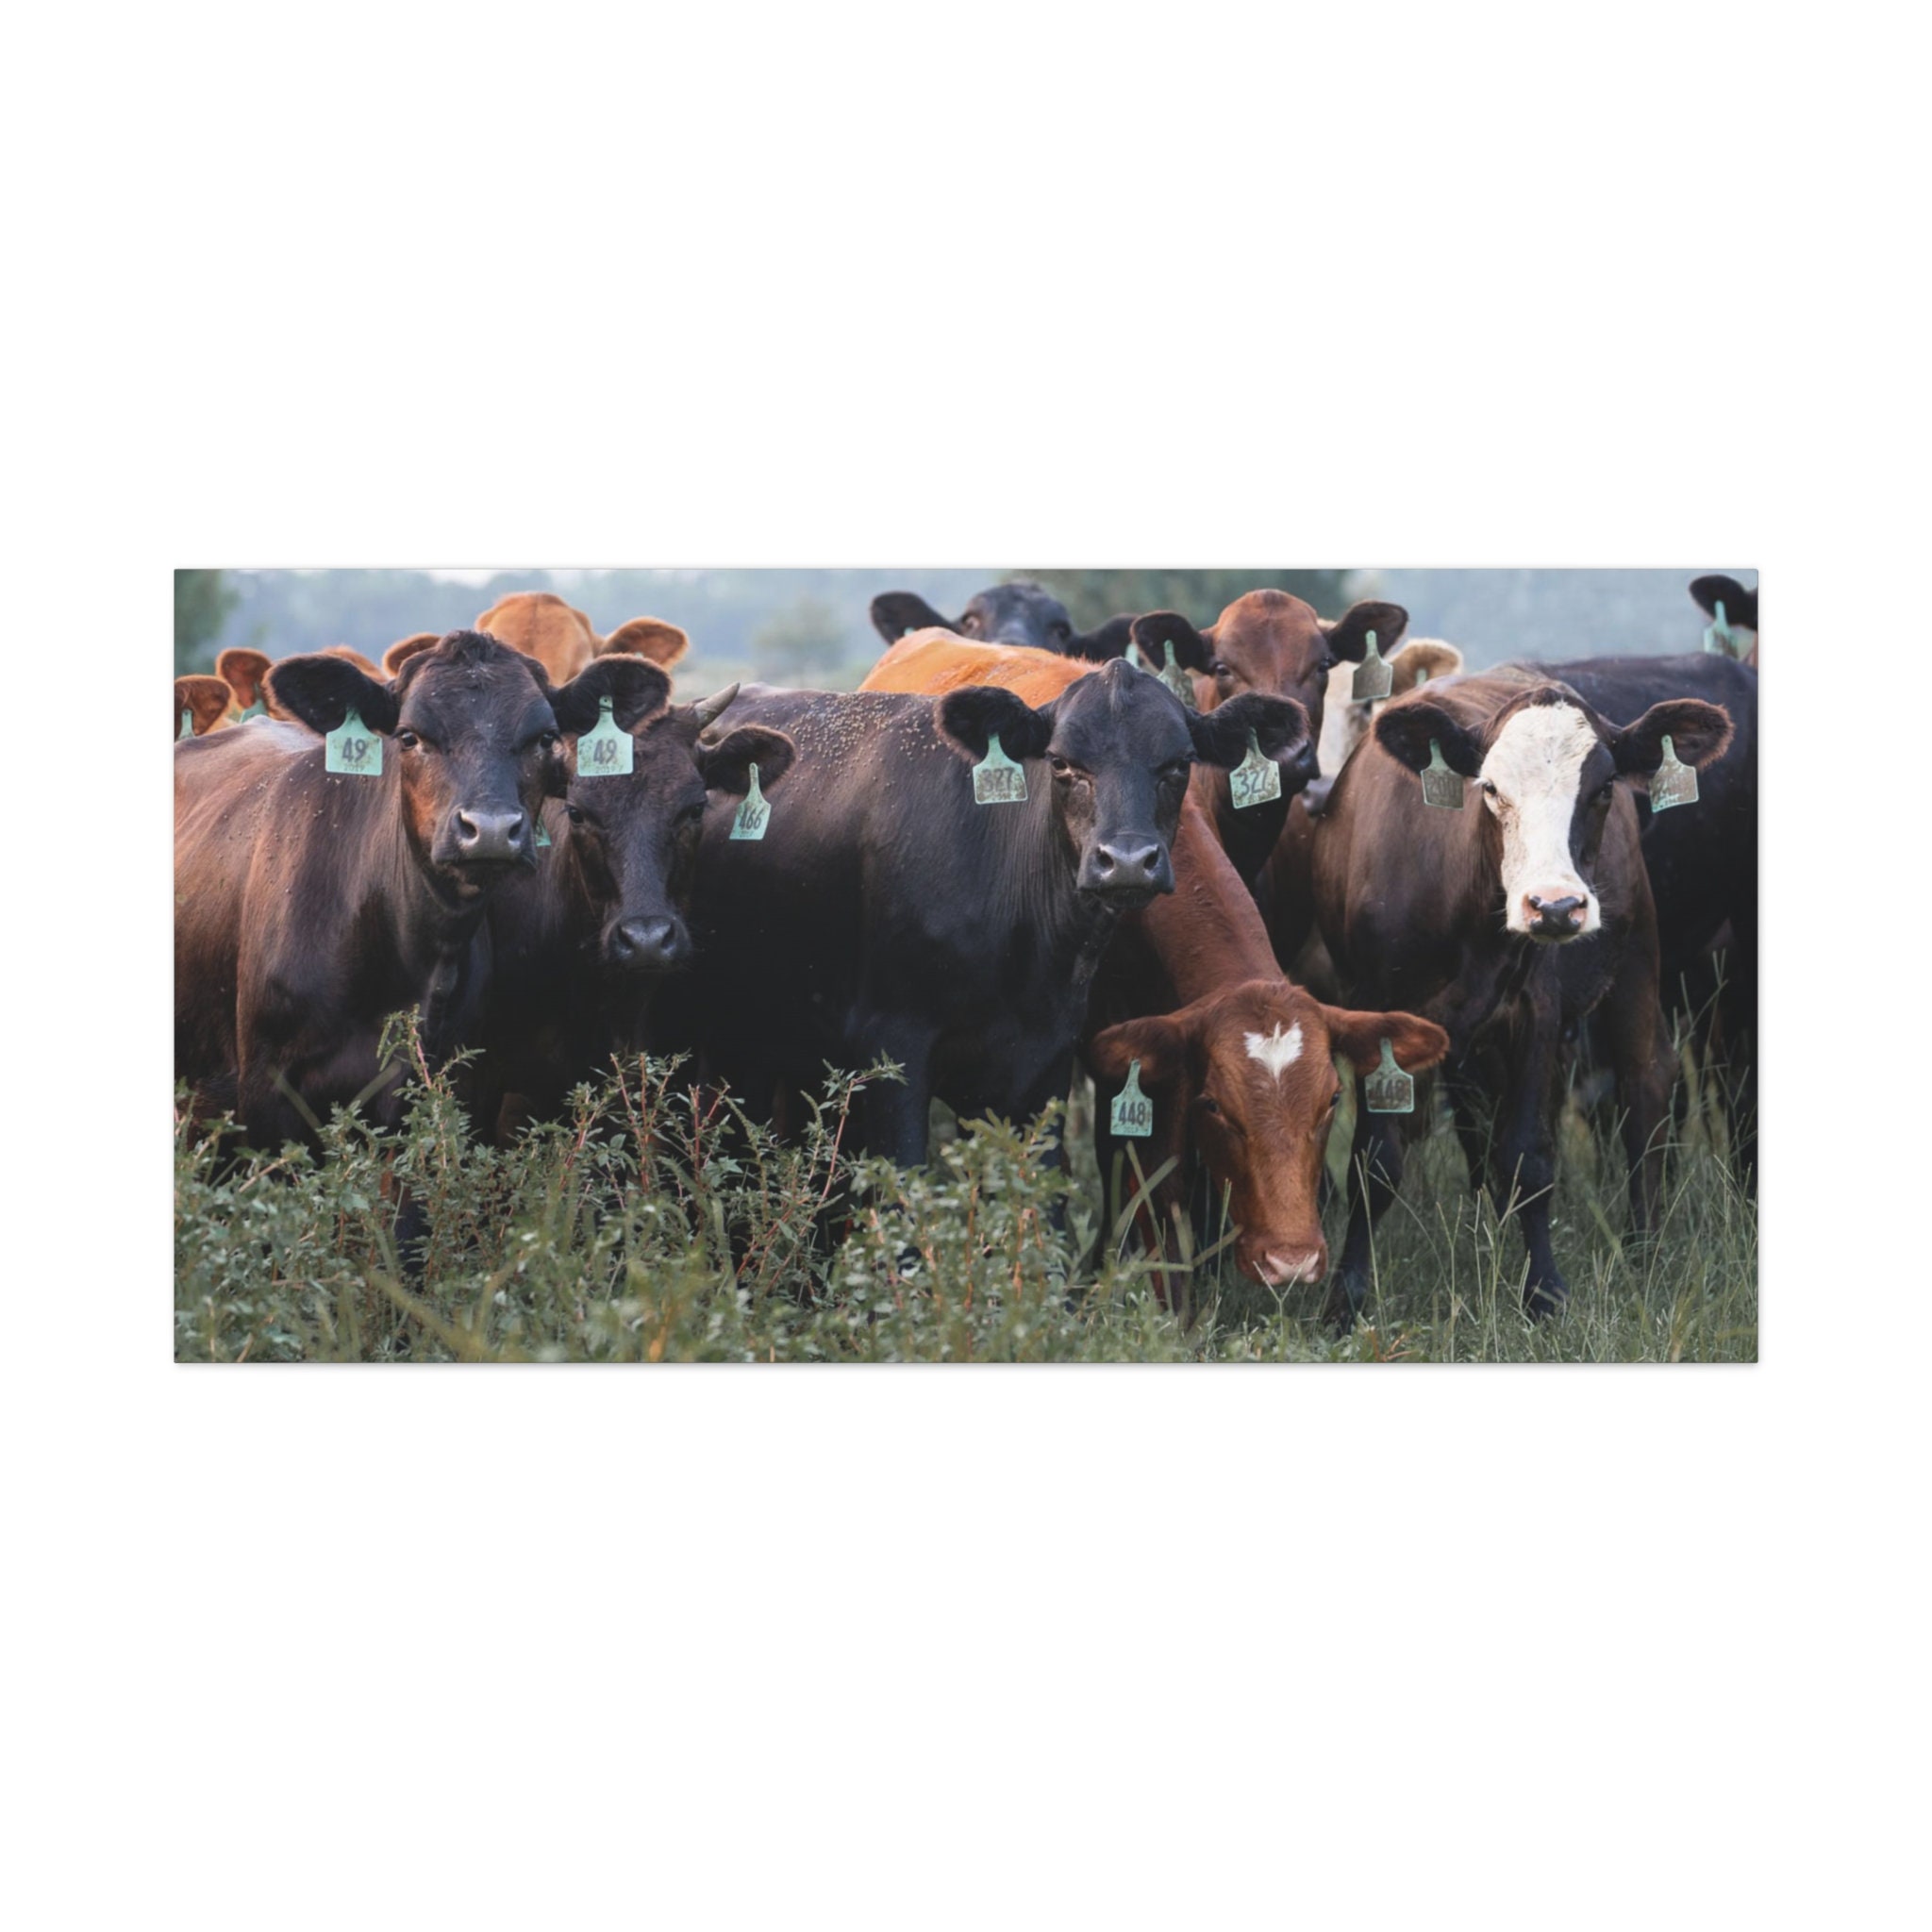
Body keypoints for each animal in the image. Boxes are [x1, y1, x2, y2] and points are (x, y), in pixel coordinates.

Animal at [1304, 674, 1733, 1320]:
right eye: (1490, 788)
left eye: (1603, 787)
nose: (1555, 906)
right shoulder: (1379, 1012)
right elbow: (1376, 1160)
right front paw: (1347, 1294)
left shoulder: (1537, 1012)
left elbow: (1530, 1156)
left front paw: (1544, 1291)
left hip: (1636, 959)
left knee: (1646, 1083)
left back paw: (1645, 1246)